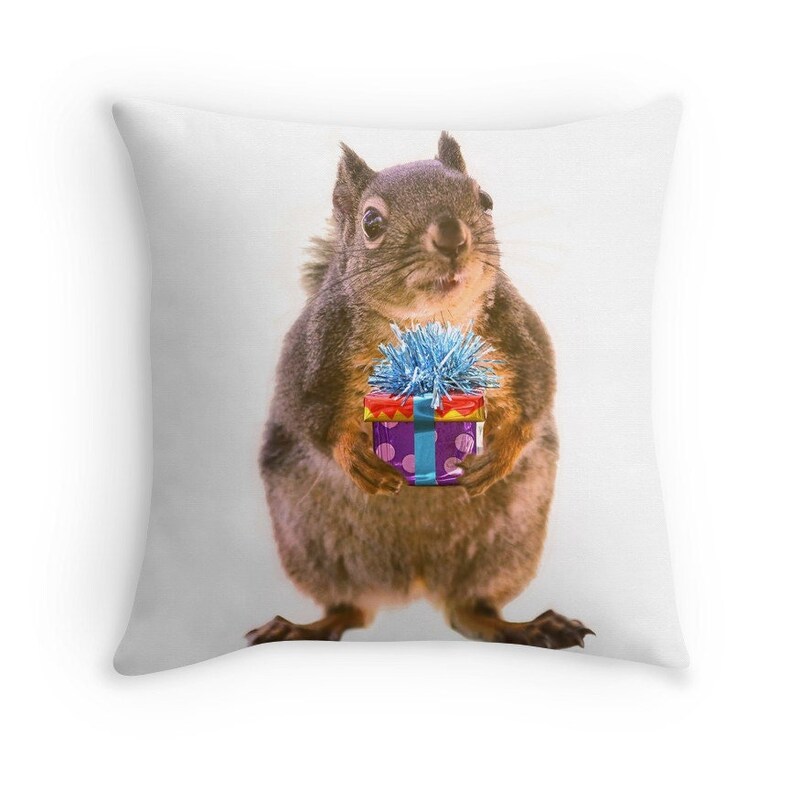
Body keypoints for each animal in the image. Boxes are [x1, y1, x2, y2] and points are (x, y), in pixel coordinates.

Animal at [247, 133, 593, 649]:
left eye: (485, 200)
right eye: (371, 222)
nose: (452, 236)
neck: (429, 322)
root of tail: (417, 579)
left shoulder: (521, 337)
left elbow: (536, 394)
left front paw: (498, 456)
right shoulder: (309, 358)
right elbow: (312, 416)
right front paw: (355, 457)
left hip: (509, 543)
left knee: (470, 611)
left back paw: (525, 627)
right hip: (312, 547)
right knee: (348, 607)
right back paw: (305, 628)